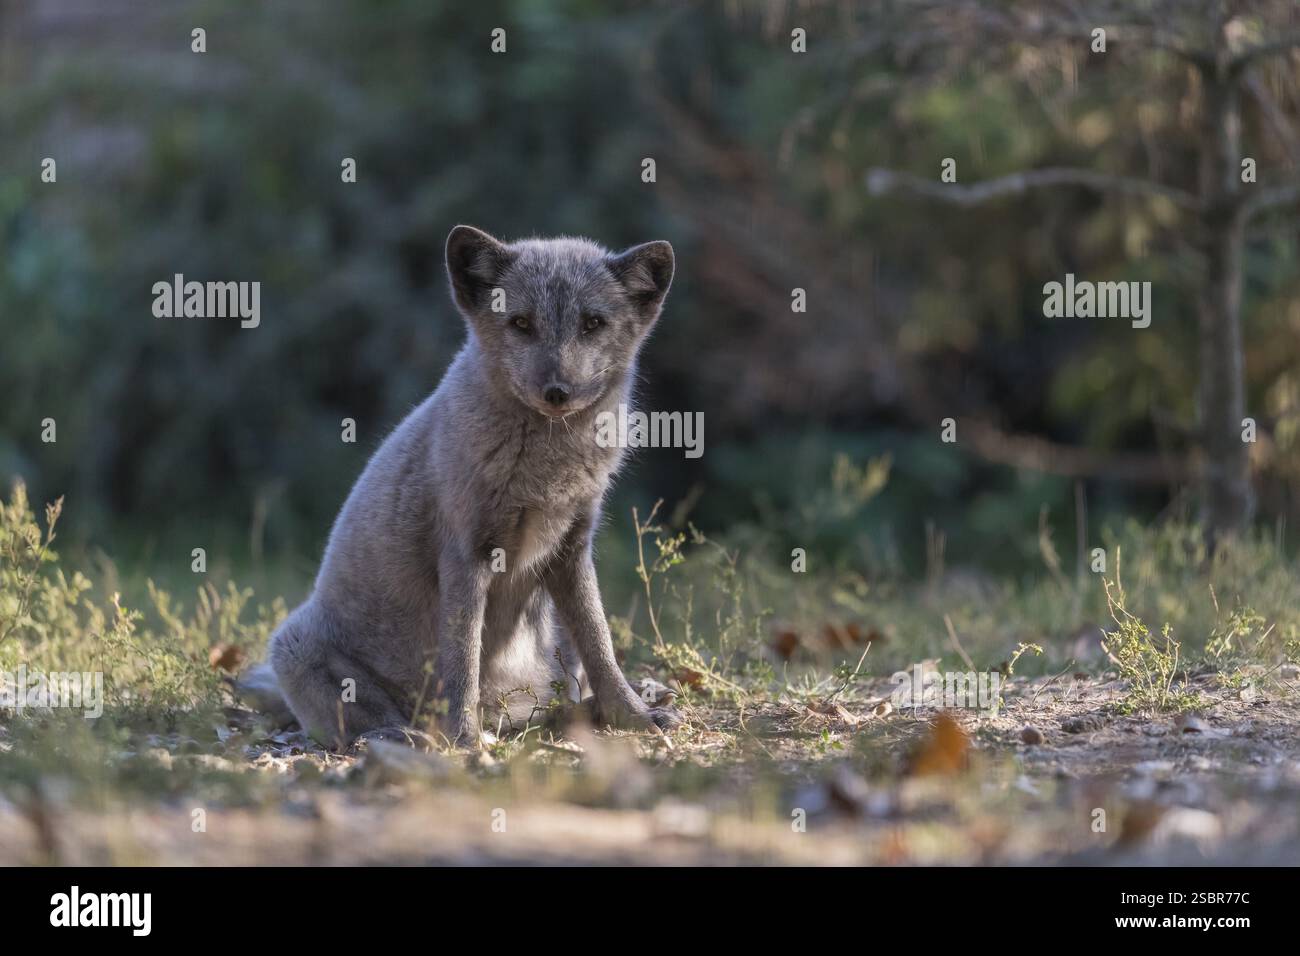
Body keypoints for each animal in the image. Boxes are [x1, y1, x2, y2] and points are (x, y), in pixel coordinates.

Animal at [253, 225, 682, 748]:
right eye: (521, 323)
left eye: (593, 323)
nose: (557, 391)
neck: (546, 473)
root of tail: (512, 713)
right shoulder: (467, 553)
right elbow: (463, 662)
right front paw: (464, 740)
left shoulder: (572, 550)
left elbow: (601, 647)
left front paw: (633, 716)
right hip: (294, 645)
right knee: (378, 724)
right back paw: (411, 736)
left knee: (562, 697)